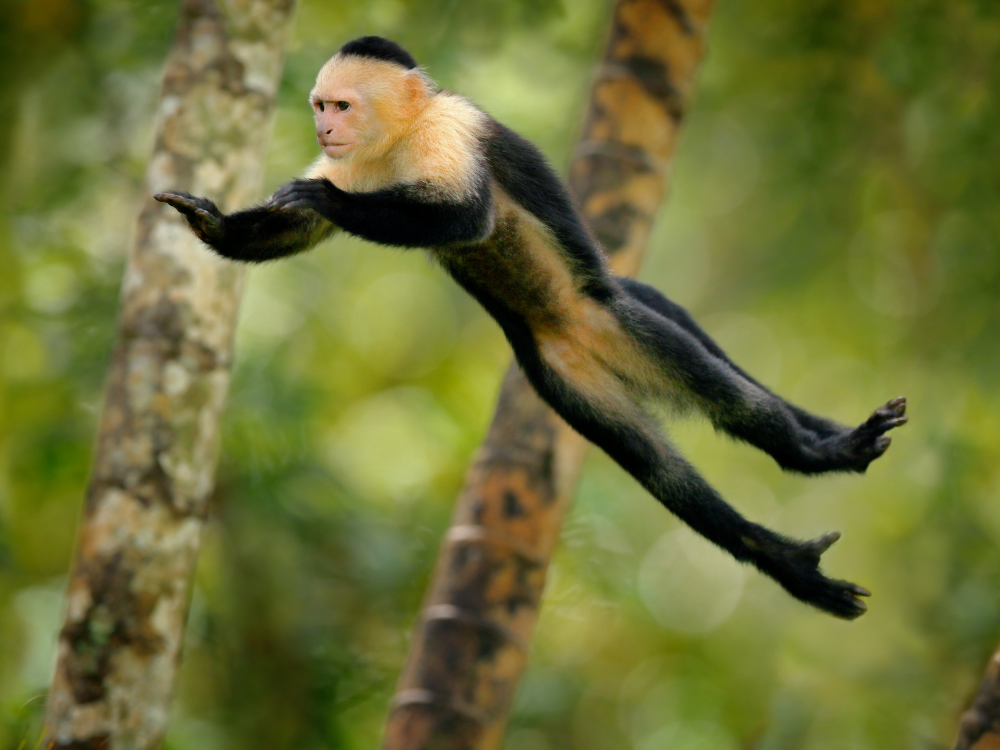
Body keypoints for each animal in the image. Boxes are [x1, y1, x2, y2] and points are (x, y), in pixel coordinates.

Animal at [156, 36, 907, 619]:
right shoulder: (356, 158)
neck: (396, 139)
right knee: (661, 470)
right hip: (563, 378)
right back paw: (782, 552)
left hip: (615, 325)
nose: (323, 129)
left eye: (340, 105)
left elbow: (468, 218)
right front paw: (209, 222)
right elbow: (292, 232)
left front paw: (319, 196)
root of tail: (579, 332)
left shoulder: (449, 131)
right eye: (321, 107)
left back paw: (814, 451)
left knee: (712, 382)